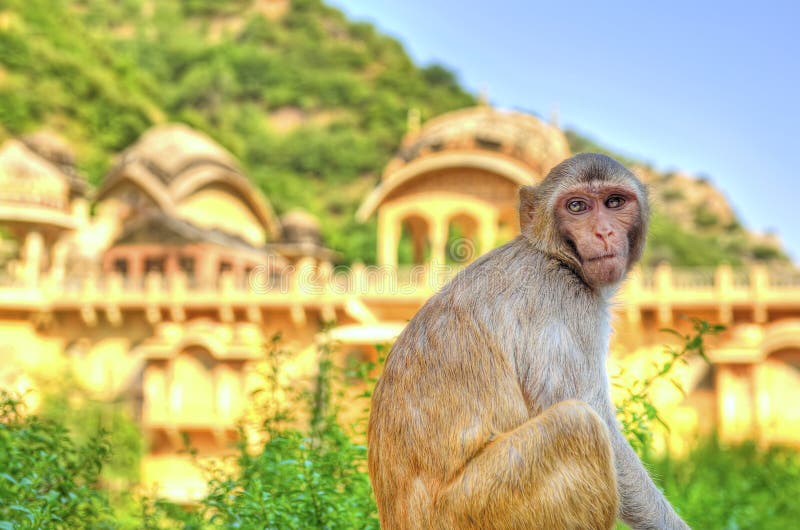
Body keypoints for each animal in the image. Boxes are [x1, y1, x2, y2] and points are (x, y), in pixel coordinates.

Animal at [368, 153, 689, 530]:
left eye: (614, 202)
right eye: (577, 206)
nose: (604, 232)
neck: (556, 257)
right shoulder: (564, 301)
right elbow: (596, 419)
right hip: (476, 506)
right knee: (579, 424)